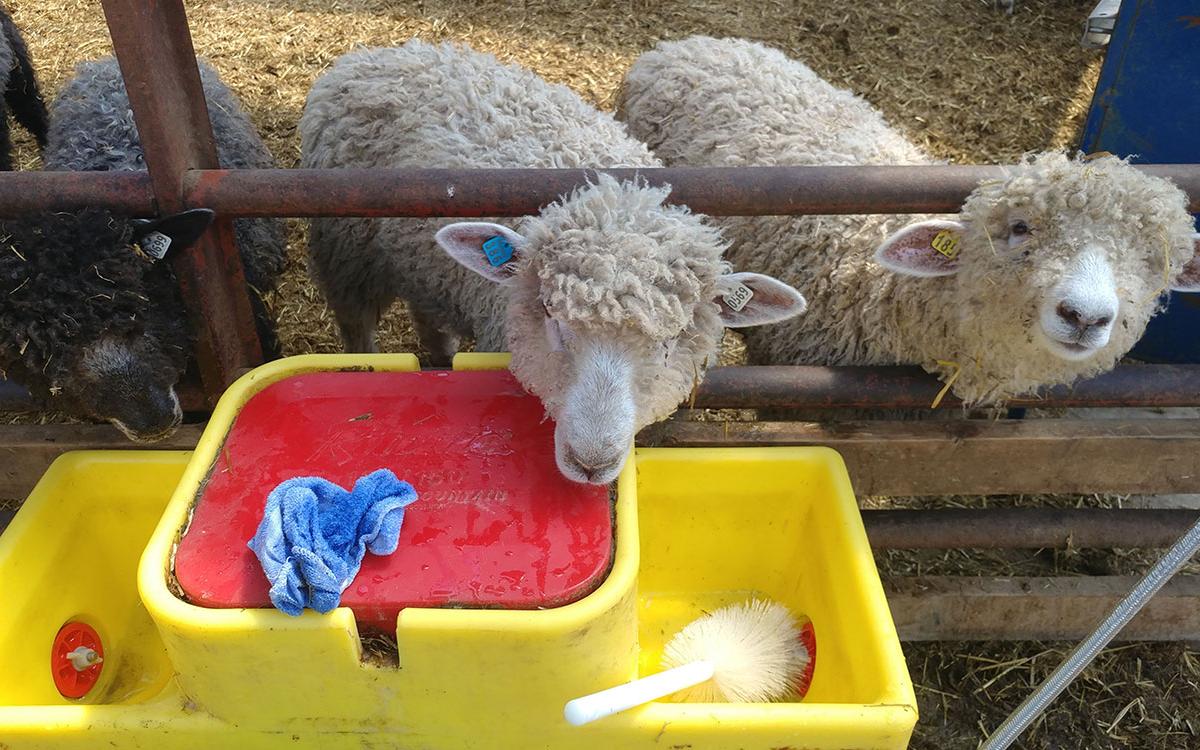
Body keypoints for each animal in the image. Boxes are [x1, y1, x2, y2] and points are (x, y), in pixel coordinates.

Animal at [301, 40, 806, 485]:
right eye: (548, 313)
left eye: (674, 339)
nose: (590, 463)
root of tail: (385, 52)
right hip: (346, 252)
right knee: (356, 324)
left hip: (423, 265)